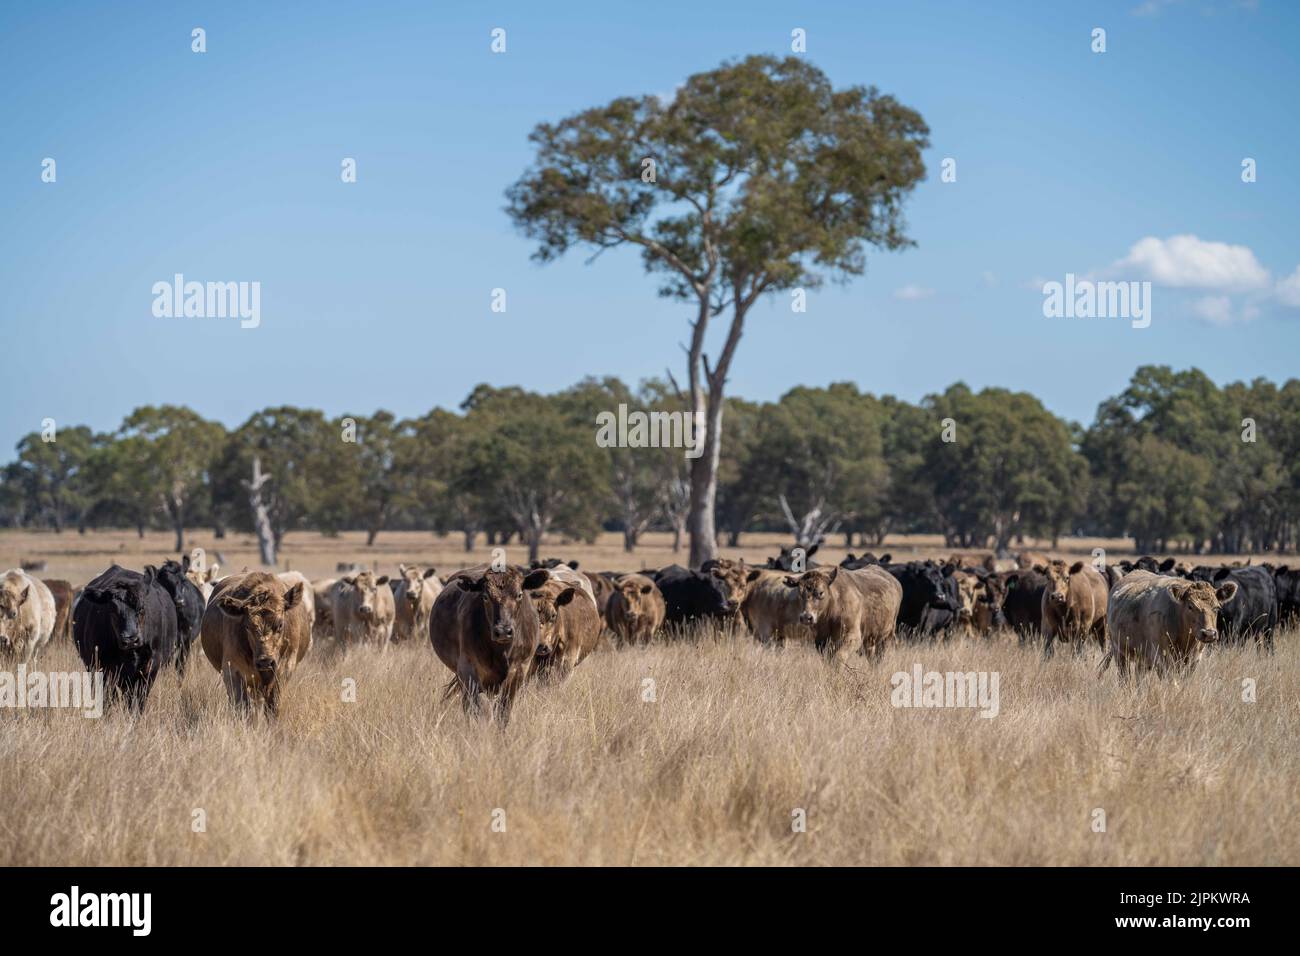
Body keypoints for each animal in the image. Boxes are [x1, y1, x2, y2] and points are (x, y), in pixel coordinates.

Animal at [73, 565, 177, 710]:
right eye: (113, 610)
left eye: (141, 608)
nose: (130, 640)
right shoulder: (102, 669)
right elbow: (107, 699)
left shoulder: (150, 667)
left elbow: (139, 700)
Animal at [200, 570, 311, 717]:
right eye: (247, 626)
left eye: (280, 624)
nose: (265, 661)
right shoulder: (232, 671)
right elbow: (242, 707)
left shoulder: (284, 671)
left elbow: (273, 708)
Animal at [429, 564, 552, 721]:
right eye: (485, 596)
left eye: (519, 595)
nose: (503, 631)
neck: (502, 650)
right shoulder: (468, 669)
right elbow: (479, 708)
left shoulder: (519, 670)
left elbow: (503, 710)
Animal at [1100, 571, 1238, 679]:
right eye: (1190, 606)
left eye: (1217, 608)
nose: (1209, 633)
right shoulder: (1162, 657)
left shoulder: (1194, 660)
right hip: (1120, 653)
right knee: (1125, 679)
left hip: (1142, 658)